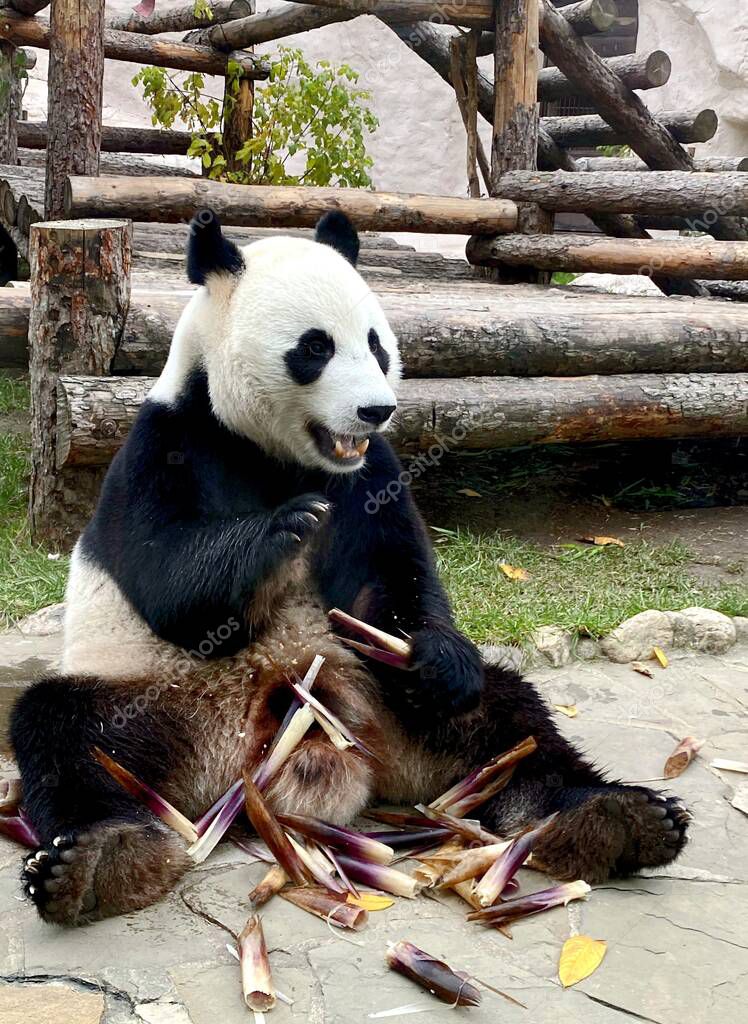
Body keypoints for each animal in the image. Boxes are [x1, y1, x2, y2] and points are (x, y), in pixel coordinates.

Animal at [11, 209, 690, 926]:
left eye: (376, 344)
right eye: (315, 348)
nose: (376, 409)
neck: (275, 450)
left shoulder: (371, 470)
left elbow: (386, 579)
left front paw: (436, 660)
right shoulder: (165, 445)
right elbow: (173, 588)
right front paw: (288, 527)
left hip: (381, 692)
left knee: (511, 719)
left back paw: (614, 818)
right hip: (160, 702)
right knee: (67, 735)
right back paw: (99, 859)